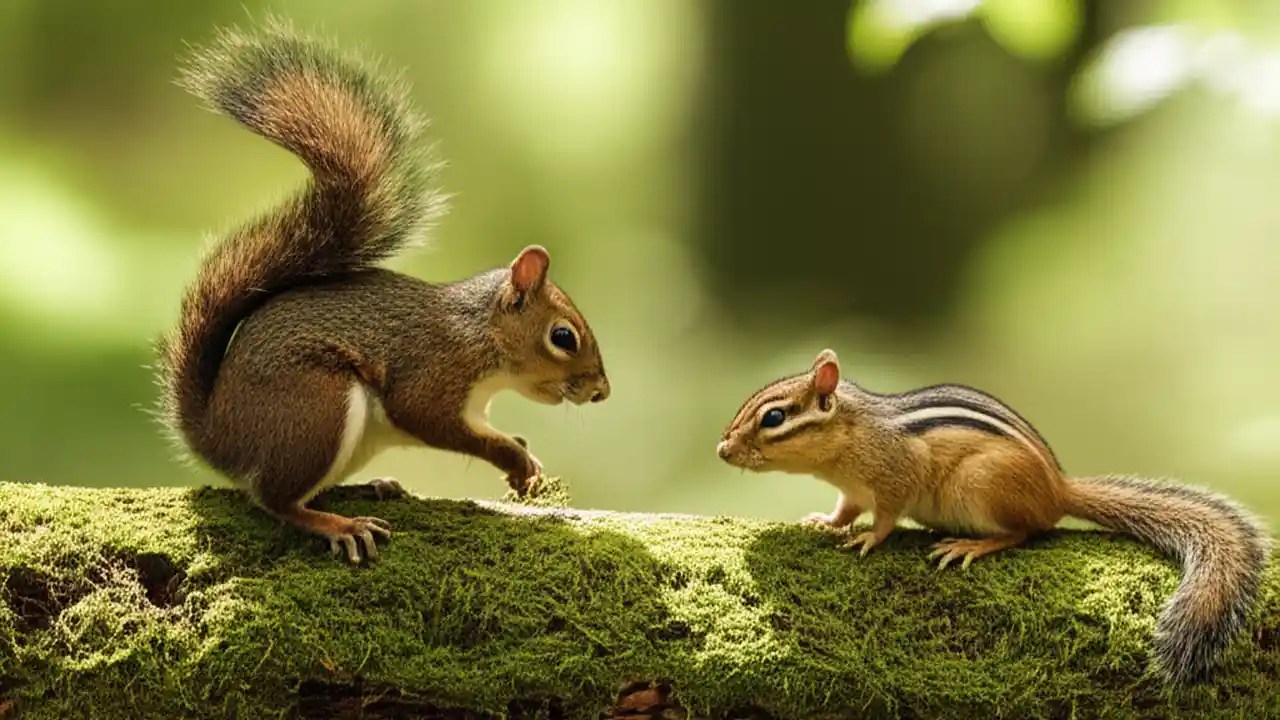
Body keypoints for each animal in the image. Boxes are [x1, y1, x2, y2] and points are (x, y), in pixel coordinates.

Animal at [157, 21, 610, 564]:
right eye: (563, 337)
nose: (602, 391)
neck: (482, 339)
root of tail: (217, 435)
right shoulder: (434, 373)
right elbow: (430, 418)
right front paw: (513, 457)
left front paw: (525, 458)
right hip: (317, 407)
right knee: (275, 499)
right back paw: (339, 525)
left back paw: (372, 487)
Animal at [716, 348, 1270, 684]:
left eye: (774, 417)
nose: (722, 450)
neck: (856, 432)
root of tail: (1057, 488)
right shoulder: (852, 490)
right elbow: (845, 510)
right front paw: (824, 522)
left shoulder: (895, 478)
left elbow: (887, 516)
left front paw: (868, 540)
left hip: (980, 485)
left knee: (1027, 531)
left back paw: (972, 544)